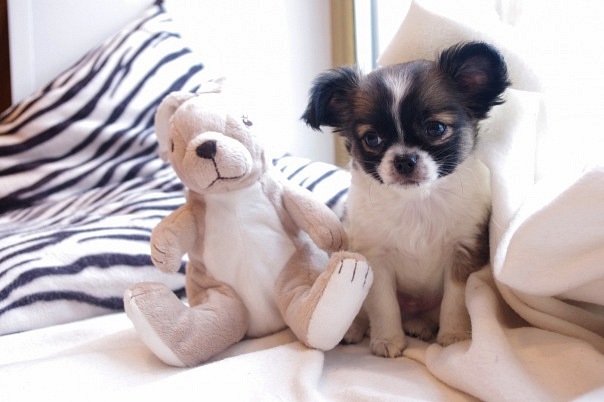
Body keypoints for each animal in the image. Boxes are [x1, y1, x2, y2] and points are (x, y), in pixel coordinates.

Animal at [302, 42, 510, 358]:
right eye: (372, 139)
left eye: (436, 129)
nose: (403, 160)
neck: (417, 202)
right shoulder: (376, 258)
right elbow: (383, 305)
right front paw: (388, 340)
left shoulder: (463, 254)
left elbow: (454, 300)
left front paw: (454, 336)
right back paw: (352, 329)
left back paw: (421, 325)